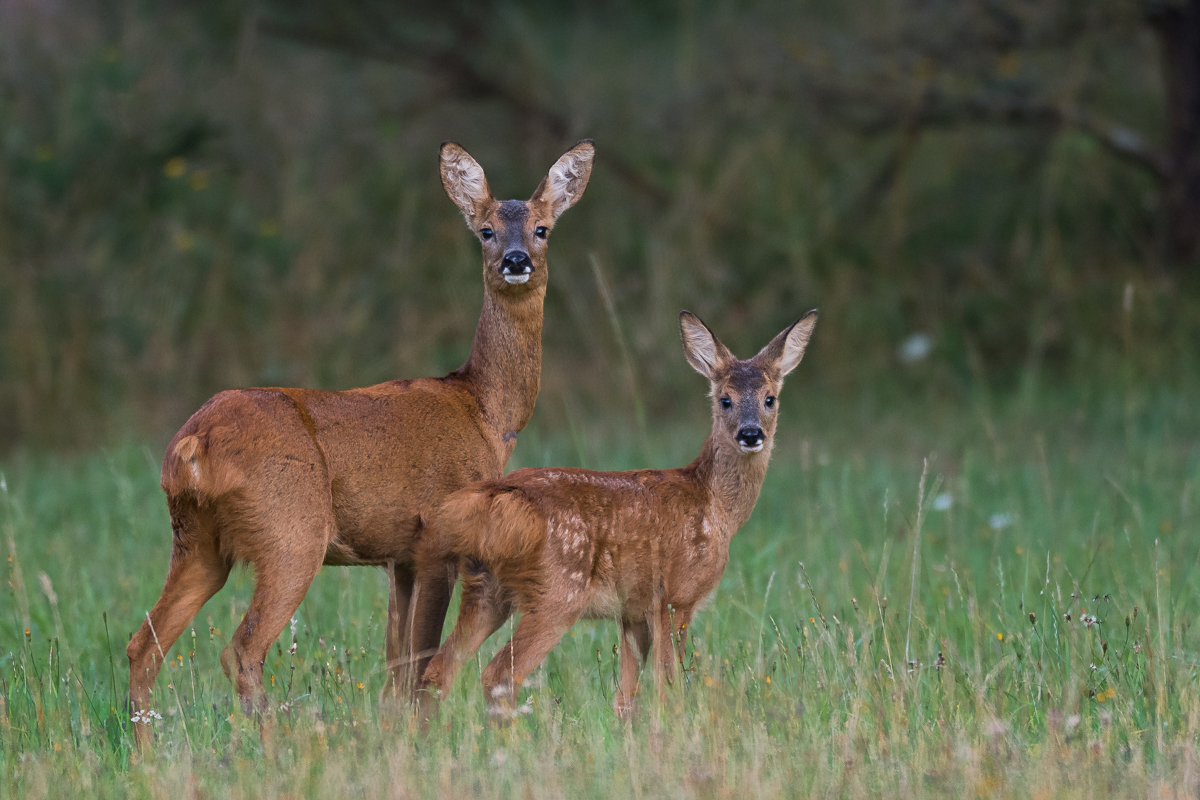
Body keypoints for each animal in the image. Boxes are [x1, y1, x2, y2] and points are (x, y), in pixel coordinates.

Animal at [127, 139, 595, 743]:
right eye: (486, 230)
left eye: (542, 228)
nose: (517, 260)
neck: (483, 411)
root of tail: (193, 445)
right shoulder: (436, 534)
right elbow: (420, 660)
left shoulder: (398, 556)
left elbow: (396, 663)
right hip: (291, 530)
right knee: (241, 649)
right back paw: (275, 746)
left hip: (196, 540)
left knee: (144, 643)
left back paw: (144, 749)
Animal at [417, 309, 820, 714]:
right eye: (725, 400)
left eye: (770, 399)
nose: (751, 434)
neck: (715, 507)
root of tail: (493, 498)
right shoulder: (674, 597)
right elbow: (669, 685)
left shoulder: (632, 612)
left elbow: (625, 698)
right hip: (557, 591)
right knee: (498, 674)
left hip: (485, 587)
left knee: (438, 670)